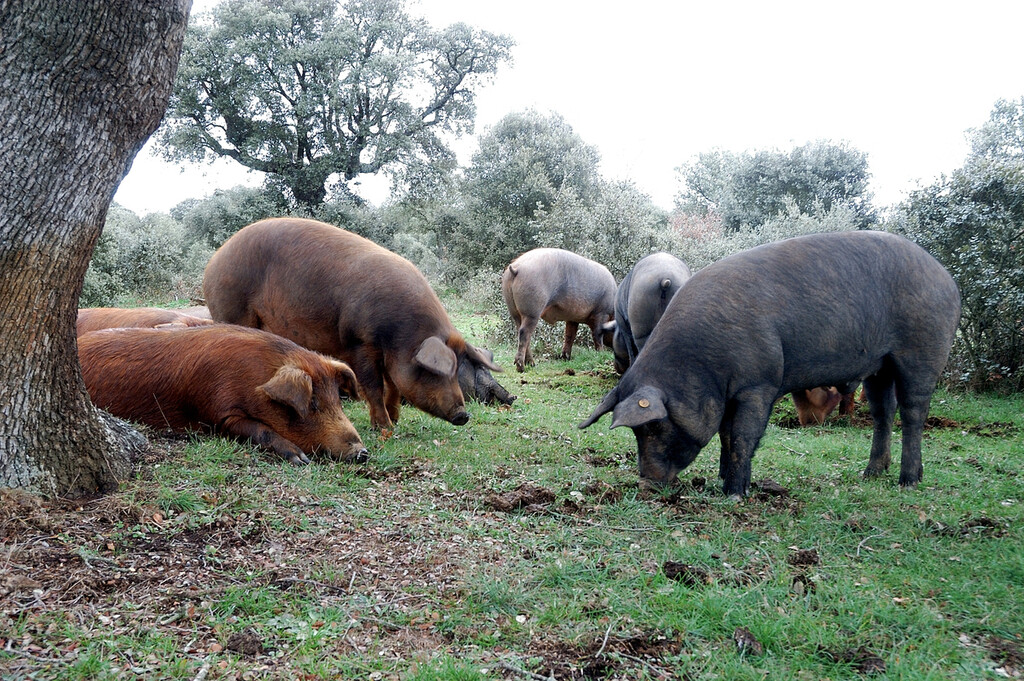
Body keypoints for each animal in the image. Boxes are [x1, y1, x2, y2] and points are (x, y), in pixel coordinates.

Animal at [78, 325, 367, 464]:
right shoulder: (218, 413)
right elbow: (259, 430)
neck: (255, 377)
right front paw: (300, 459)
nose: (363, 452)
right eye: (313, 403)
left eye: (338, 401)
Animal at [203, 218, 500, 431]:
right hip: (231, 307)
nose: (463, 415)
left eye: (457, 371)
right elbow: (374, 386)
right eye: (435, 372)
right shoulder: (361, 343)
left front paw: (395, 420)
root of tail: (214, 260)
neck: (400, 337)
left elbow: (393, 386)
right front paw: (385, 428)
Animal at [579, 231, 960, 497]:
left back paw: (908, 481)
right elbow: (724, 434)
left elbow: (742, 435)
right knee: (883, 413)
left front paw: (735, 493)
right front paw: (723, 479)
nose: (646, 483)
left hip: (921, 351)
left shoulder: (759, 384)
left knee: (913, 412)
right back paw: (870, 475)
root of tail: (948, 280)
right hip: (879, 366)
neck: (704, 366)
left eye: (654, 427)